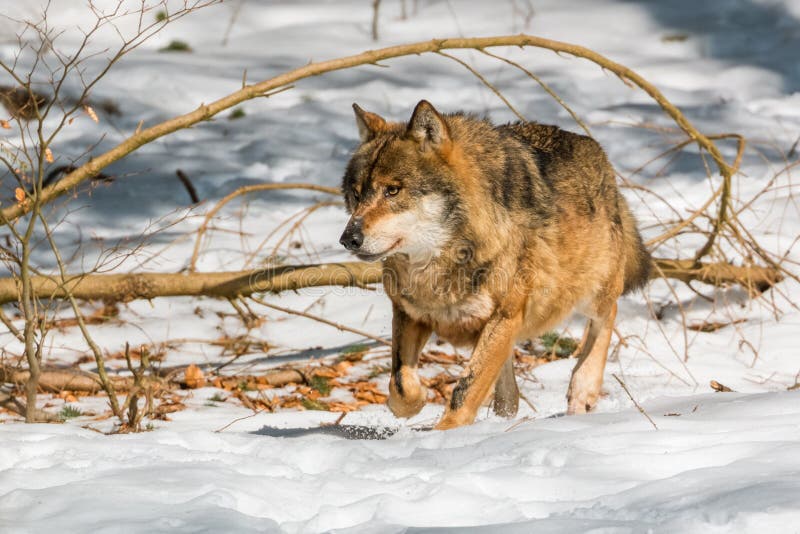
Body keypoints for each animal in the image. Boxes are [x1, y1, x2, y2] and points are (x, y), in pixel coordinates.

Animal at [339, 100, 650, 430]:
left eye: (393, 190)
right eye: (356, 194)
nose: (348, 239)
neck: (439, 262)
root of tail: (598, 152)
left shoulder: (505, 315)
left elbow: (465, 388)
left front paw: (445, 432)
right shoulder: (410, 313)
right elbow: (400, 383)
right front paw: (413, 405)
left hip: (590, 293)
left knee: (607, 316)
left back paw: (583, 390)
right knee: (509, 395)